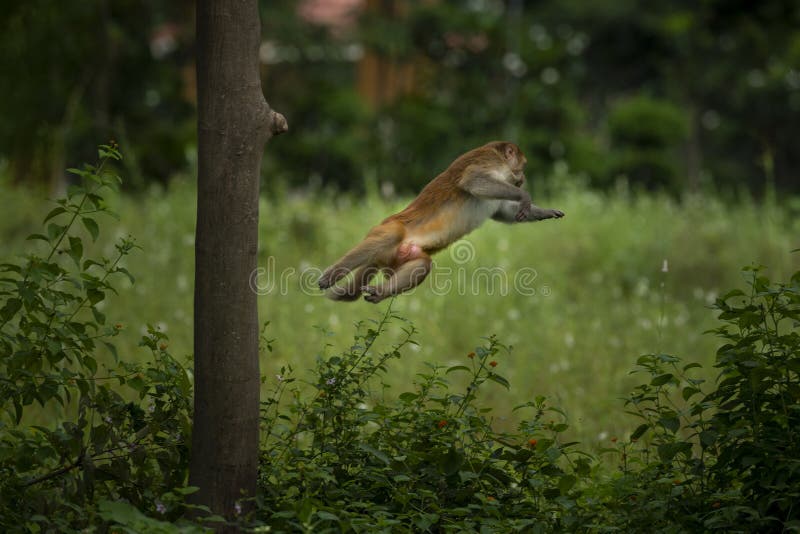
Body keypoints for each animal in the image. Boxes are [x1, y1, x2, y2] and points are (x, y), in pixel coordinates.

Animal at [318, 141, 564, 303]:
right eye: (522, 166)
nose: (522, 178)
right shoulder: (491, 162)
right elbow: (473, 180)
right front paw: (525, 196)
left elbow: (505, 212)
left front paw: (545, 211)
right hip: (386, 229)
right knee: (390, 236)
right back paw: (333, 274)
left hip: (399, 256)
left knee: (422, 264)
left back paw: (381, 292)